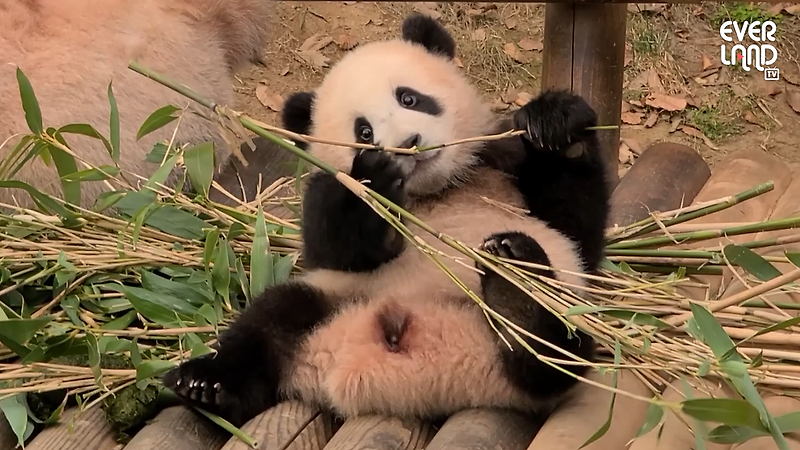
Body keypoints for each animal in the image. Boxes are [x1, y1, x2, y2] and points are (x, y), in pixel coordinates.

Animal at [163, 13, 611, 428]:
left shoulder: (500, 160)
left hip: (570, 313)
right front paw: (373, 177)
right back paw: (207, 384)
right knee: (269, 319)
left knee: (558, 353)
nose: (408, 145)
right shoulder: (329, 207)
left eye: (409, 98)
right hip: (335, 297)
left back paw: (515, 279)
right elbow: (335, 245)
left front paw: (554, 122)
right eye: (363, 131)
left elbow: (574, 231)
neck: (436, 189)